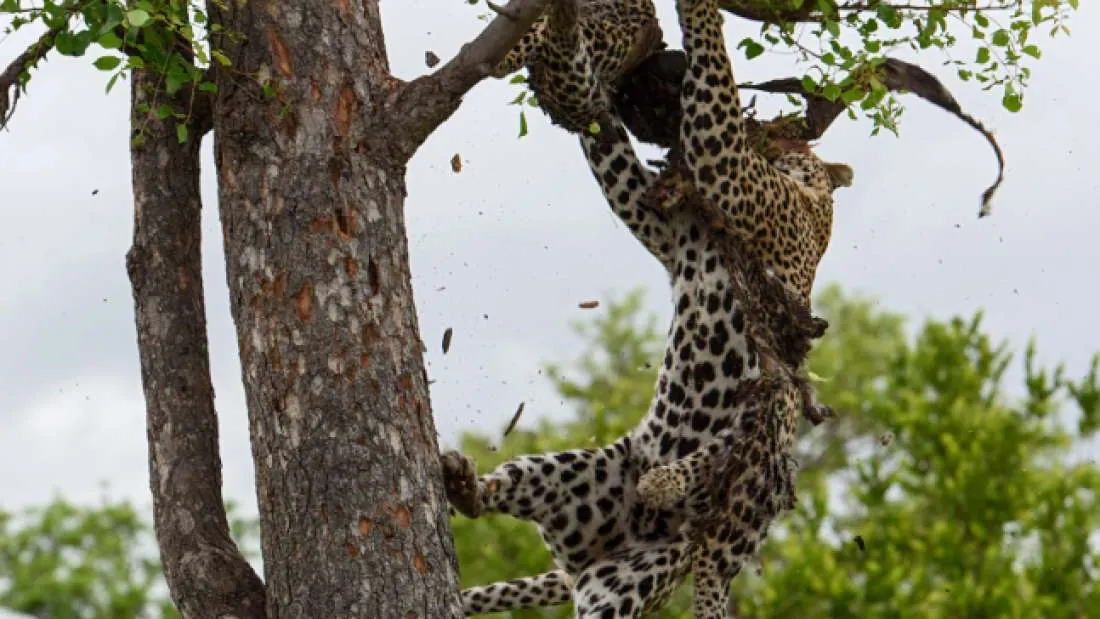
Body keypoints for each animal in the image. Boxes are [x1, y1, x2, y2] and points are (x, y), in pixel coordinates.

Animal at [444, 0, 849, 615]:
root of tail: (592, 554)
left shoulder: (728, 168)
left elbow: (714, 73)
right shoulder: (660, 219)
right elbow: (603, 134)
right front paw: (562, 30)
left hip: (629, 582)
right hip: (568, 476)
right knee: (498, 491)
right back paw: (464, 483)